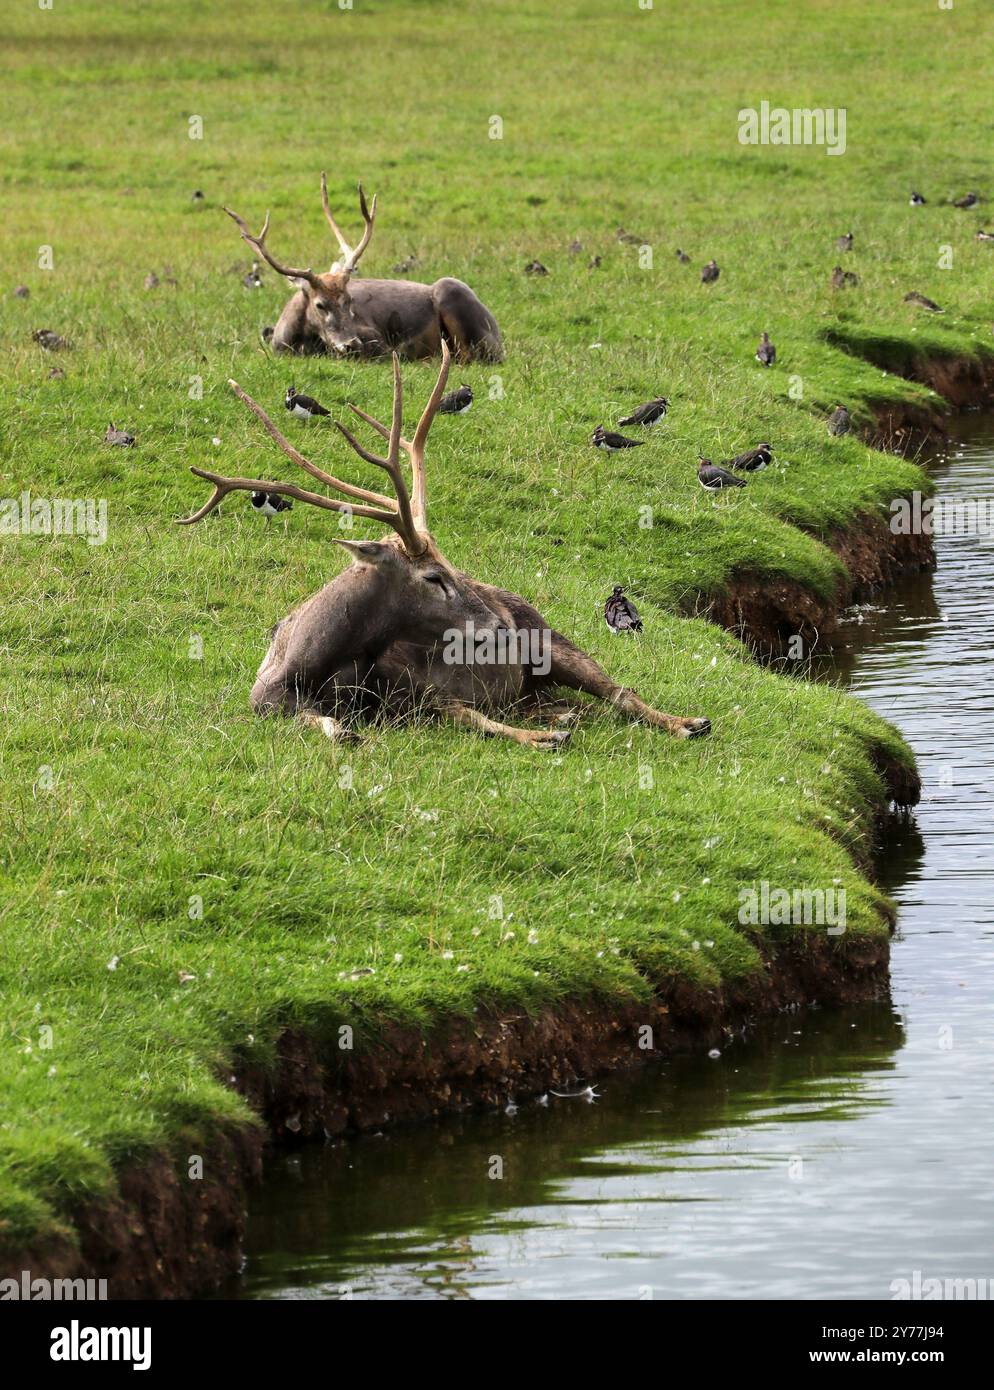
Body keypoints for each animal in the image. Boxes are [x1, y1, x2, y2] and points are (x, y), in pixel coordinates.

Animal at [177, 344, 711, 749]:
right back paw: (562, 719)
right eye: (433, 576)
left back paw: (688, 722)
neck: (304, 667)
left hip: (556, 642)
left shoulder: (420, 689)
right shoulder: (278, 702)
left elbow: (467, 717)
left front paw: (542, 739)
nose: (500, 626)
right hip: (531, 684)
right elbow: (337, 727)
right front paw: (546, 734)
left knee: (620, 691)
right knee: (560, 704)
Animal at [224, 175, 503, 363]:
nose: (351, 344)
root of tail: (500, 339)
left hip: (455, 298)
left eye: (349, 301)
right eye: (320, 304)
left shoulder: (376, 337)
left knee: (469, 356)